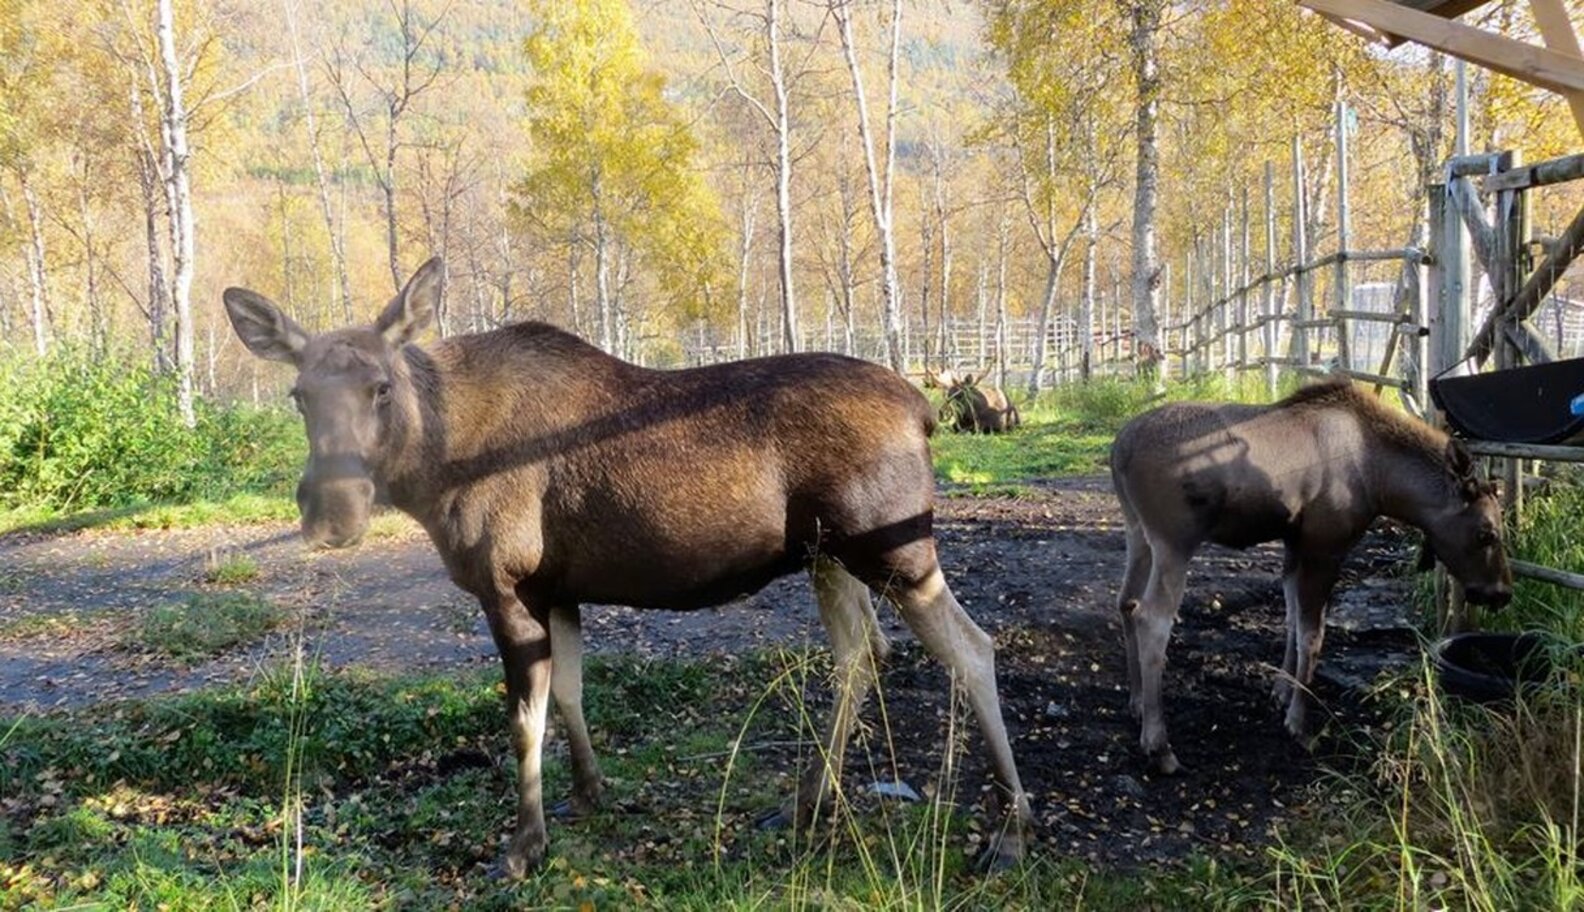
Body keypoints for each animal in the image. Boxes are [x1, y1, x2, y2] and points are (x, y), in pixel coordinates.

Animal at [223, 258, 1033, 877]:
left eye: (381, 387)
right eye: (299, 395)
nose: (330, 511)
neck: (433, 467)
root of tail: (925, 410)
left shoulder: (505, 586)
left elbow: (524, 722)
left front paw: (524, 845)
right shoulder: (558, 589)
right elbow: (572, 695)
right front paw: (590, 793)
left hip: (894, 548)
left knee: (972, 649)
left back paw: (1010, 830)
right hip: (827, 555)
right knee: (860, 653)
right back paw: (809, 802)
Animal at [1109, 379, 1512, 774]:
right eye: (1487, 533)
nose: (1502, 592)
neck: (1383, 480)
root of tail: (1118, 449)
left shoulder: (1294, 543)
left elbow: (1291, 618)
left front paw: (1281, 692)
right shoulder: (1325, 547)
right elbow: (1313, 635)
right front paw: (1300, 724)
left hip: (1139, 531)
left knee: (1127, 601)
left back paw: (1136, 702)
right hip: (1174, 541)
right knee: (1152, 619)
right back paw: (1159, 743)